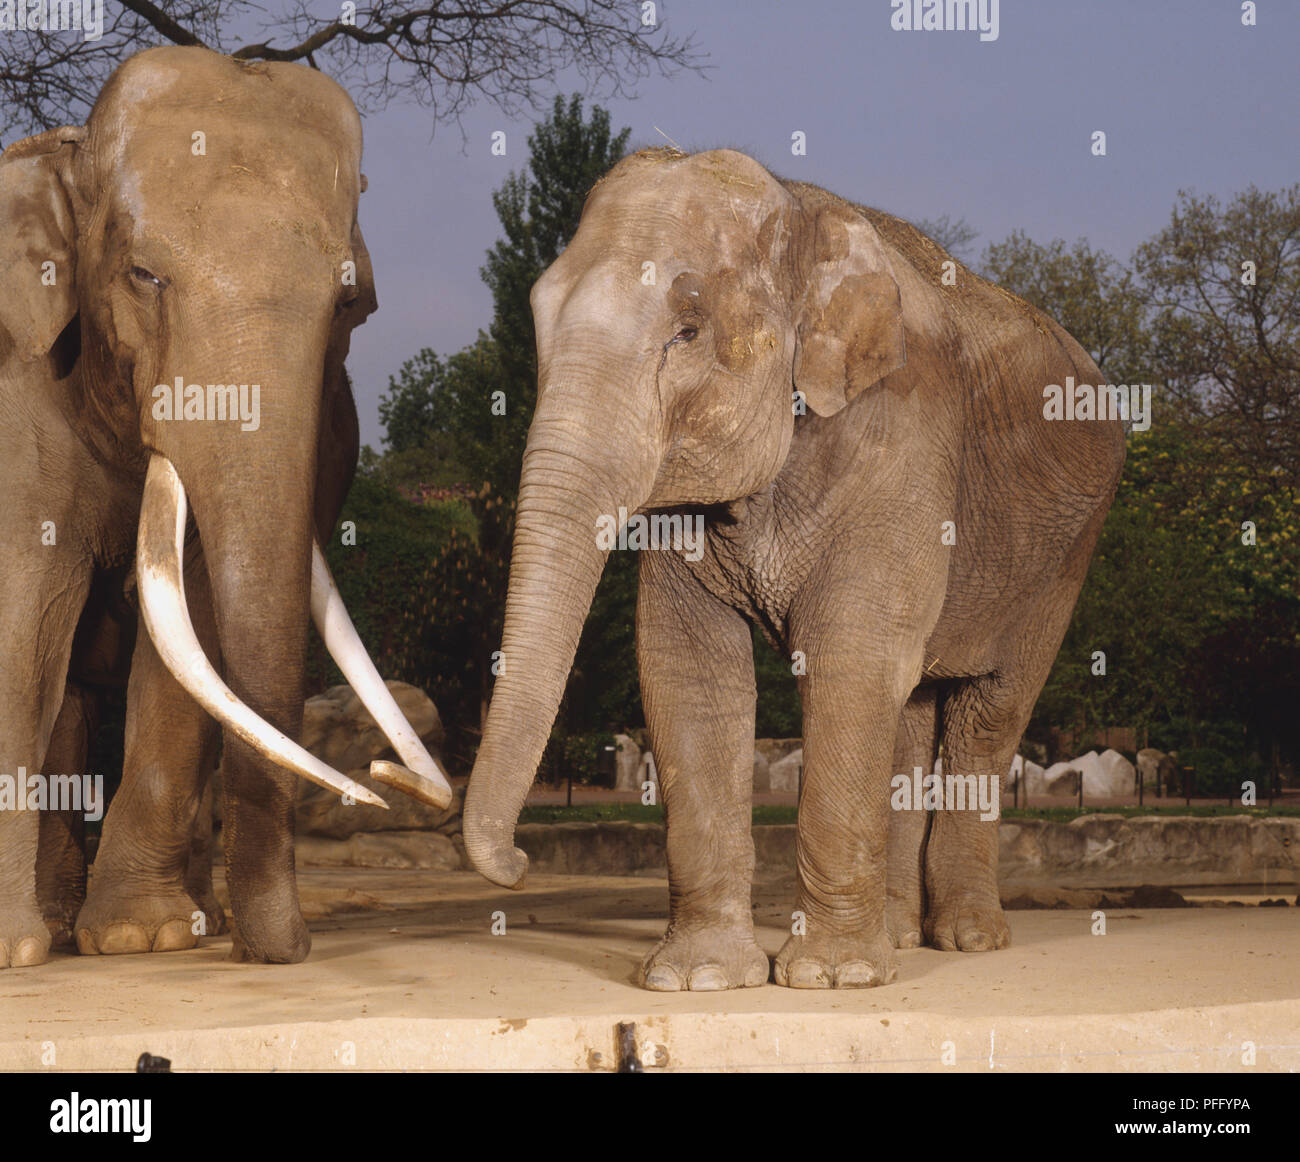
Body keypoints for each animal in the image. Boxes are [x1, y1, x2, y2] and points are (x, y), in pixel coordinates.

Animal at [0, 46, 449, 969]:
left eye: (349, 304)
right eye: (143, 275)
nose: (380, 779)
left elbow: (192, 629)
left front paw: (144, 935)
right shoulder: (21, 392)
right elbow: (24, 617)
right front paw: (27, 950)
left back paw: (177, 920)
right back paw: (57, 927)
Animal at [463, 147, 1126, 989]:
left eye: (688, 330)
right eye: (538, 323)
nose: (519, 863)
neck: (802, 215)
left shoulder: (902, 442)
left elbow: (849, 658)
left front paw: (829, 978)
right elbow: (687, 666)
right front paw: (700, 978)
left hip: (1065, 554)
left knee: (989, 712)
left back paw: (968, 938)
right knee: (910, 709)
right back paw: (902, 936)